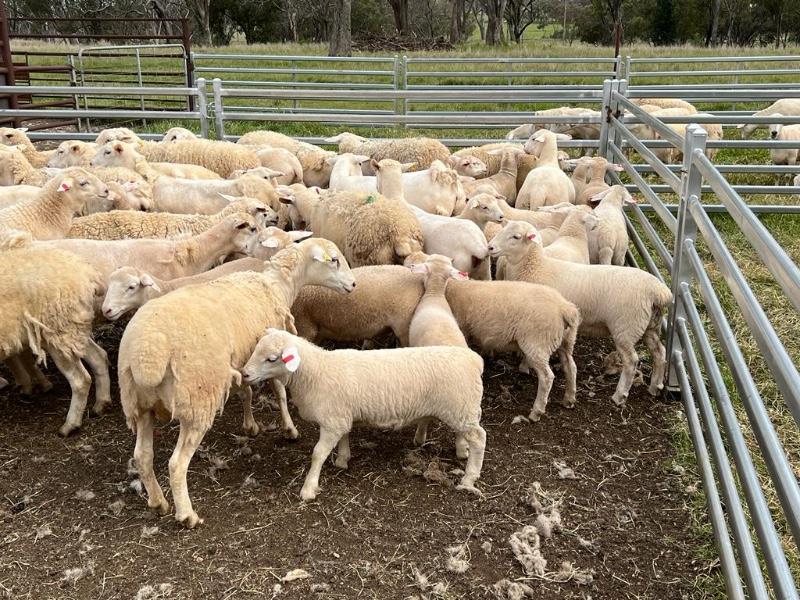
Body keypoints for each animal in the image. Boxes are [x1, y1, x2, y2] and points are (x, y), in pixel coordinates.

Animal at [0, 247, 109, 436]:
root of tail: (87, 273)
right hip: (71, 329)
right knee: (99, 357)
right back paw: (101, 404)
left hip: (59, 332)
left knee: (81, 380)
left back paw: (70, 425)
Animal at [118, 239, 356, 527]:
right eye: (334, 260)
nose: (353, 284)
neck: (277, 284)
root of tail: (147, 353)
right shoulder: (271, 353)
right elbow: (279, 392)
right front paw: (289, 428)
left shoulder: (244, 360)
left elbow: (246, 392)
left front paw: (250, 425)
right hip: (198, 397)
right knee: (176, 464)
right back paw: (187, 515)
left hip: (139, 405)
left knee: (142, 456)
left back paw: (157, 502)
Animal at [241, 328, 486, 500]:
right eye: (255, 349)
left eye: (272, 358)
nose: (244, 374)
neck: (315, 372)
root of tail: (474, 360)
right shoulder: (341, 416)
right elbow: (344, 436)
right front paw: (342, 460)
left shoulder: (332, 421)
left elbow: (318, 453)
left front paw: (309, 488)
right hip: (462, 408)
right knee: (464, 432)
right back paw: (459, 450)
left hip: (460, 407)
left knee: (479, 437)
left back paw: (469, 477)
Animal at [488, 220, 672, 406]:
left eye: (516, 236)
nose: (490, 247)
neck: (536, 267)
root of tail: (659, 291)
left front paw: (525, 366)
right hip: (650, 325)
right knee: (659, 352)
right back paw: (655, 386)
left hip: (626, 328)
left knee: (631, 361)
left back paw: (619, 395)